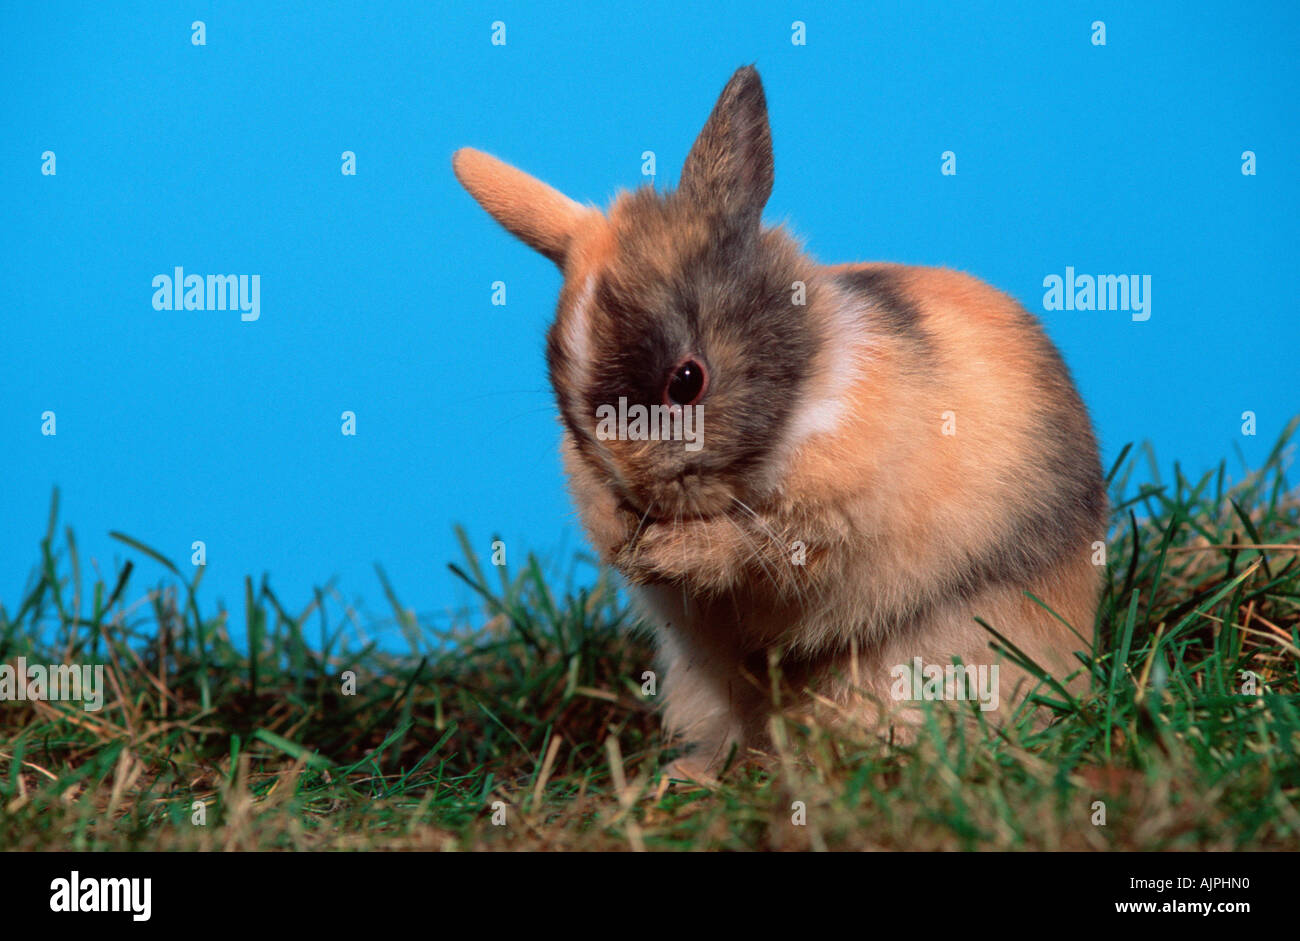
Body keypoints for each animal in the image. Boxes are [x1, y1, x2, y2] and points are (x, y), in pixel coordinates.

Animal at [453, 65, 1107, 781]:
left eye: (688, 380)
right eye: (564, 400)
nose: (639, 497)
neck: (803, 391)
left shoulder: (821, 527)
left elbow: (749, 549)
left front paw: (663, 552)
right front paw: (629, 542)